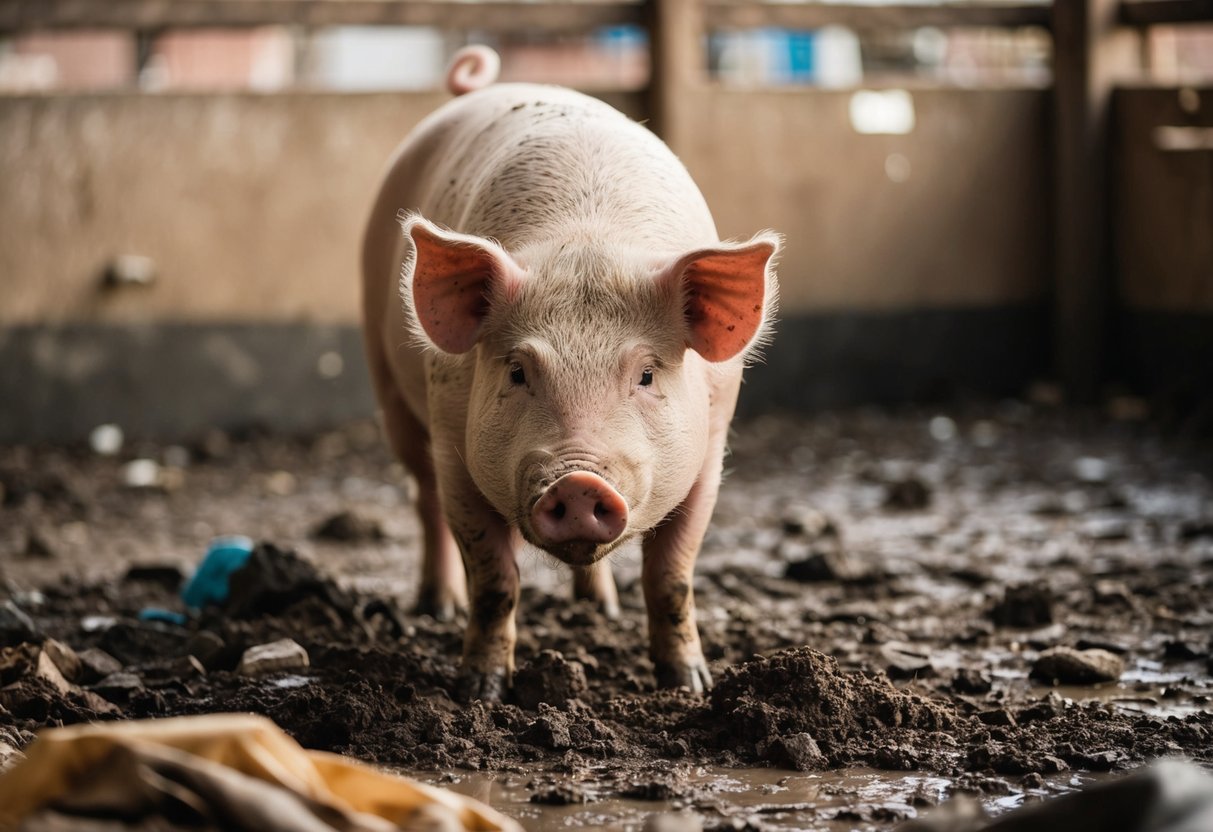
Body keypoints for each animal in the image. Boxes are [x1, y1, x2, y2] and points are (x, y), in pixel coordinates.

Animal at [361, 45, 780, 702]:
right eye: (517, 372)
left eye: (646, 375)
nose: (579, 481)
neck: (590, 240)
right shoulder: (454, 441)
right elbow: (494, 578)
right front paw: (480, 691)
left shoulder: (712, 448)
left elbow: (672, 574)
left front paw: (690, 686)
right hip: (389, 385)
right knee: (421, 497)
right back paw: (436, 607)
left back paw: (597, 609)